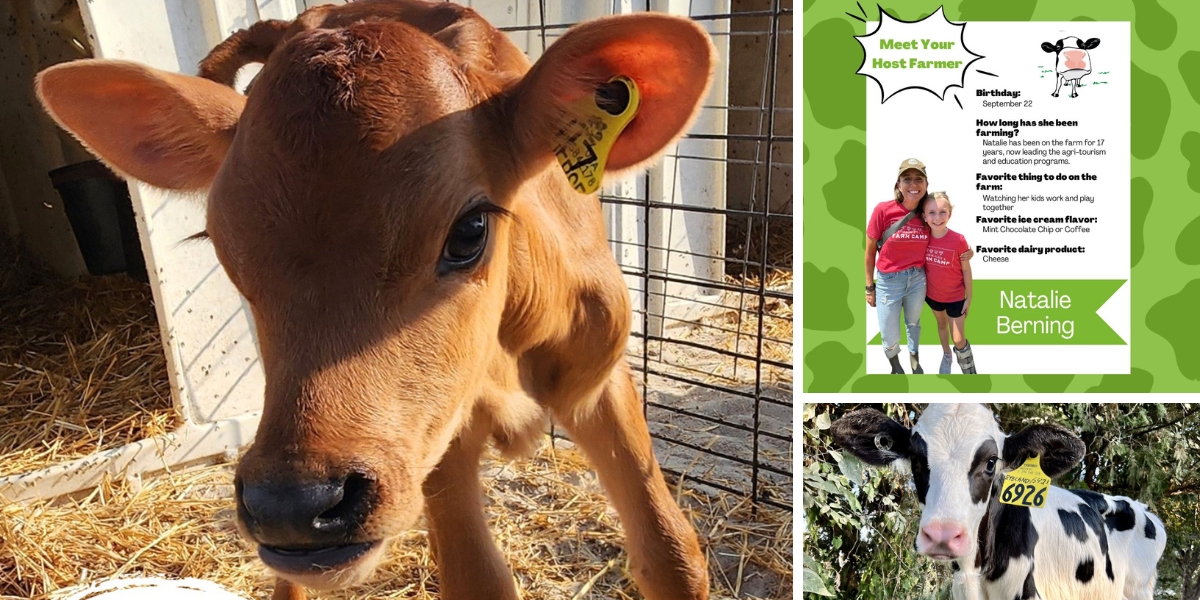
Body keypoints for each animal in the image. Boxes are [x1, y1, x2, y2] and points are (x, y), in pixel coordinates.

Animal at [34, 2, 716, 599]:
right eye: (223, 246)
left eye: (470, 231)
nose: (295, 505)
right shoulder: (435, 445)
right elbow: (477, 580)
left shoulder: (602, 376)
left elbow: (672, 556)